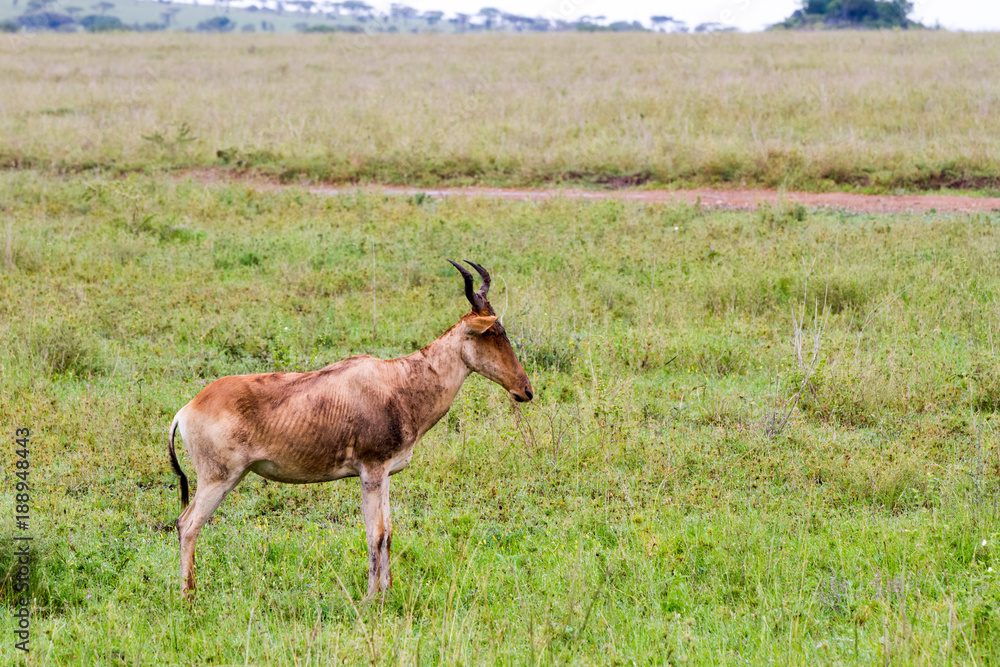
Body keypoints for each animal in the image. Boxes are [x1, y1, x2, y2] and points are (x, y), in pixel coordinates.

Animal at [168, 260, 533, 600]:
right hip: (218, 479)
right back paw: (188, 596)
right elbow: (375, 533)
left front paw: (387, 591)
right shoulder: (370, 470)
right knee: (187, 524)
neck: (397, 380)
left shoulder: (385, 473)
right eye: (492, 332)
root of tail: (186, 409)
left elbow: (388, 532)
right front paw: (372, 598)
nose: (525, 390)